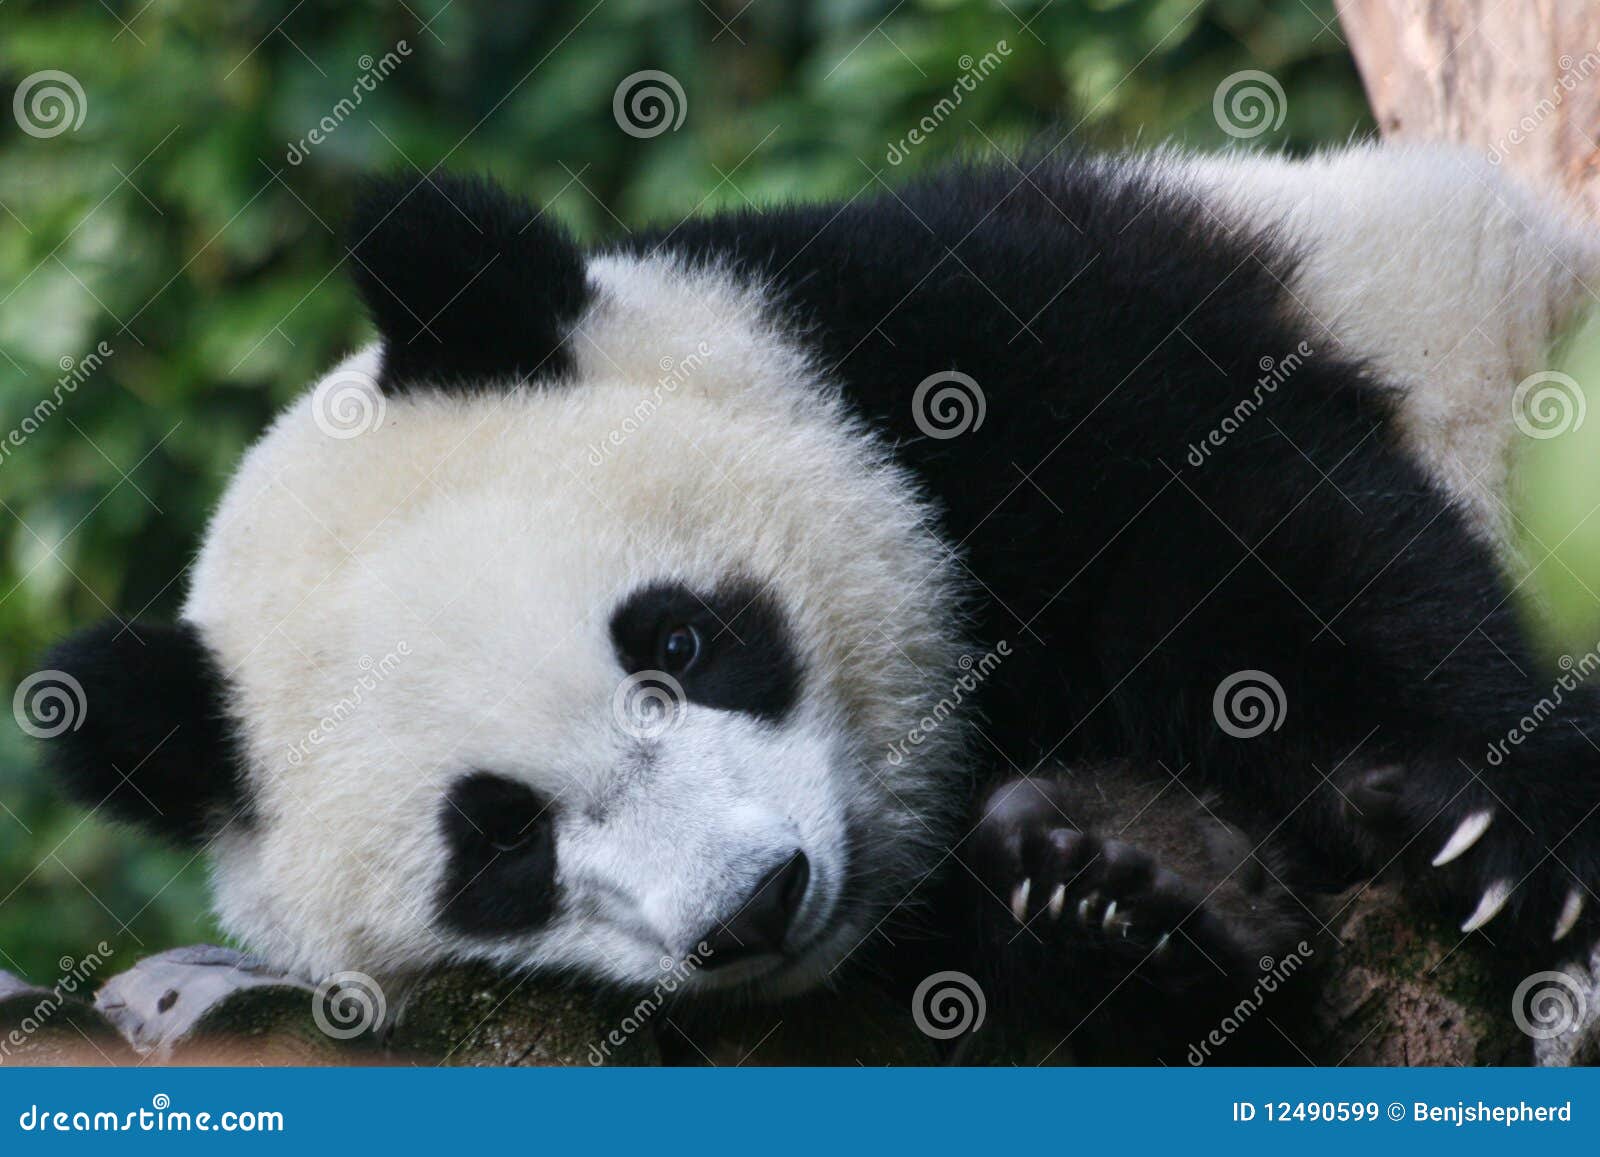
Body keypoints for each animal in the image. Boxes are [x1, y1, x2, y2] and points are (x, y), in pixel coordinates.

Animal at [39, 141, 1600, 1064]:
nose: (754, 903)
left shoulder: (990, 336)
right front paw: (1121, 886)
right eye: (500, 844)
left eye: (676, 640)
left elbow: (1277, 543)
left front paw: (1494, 833)